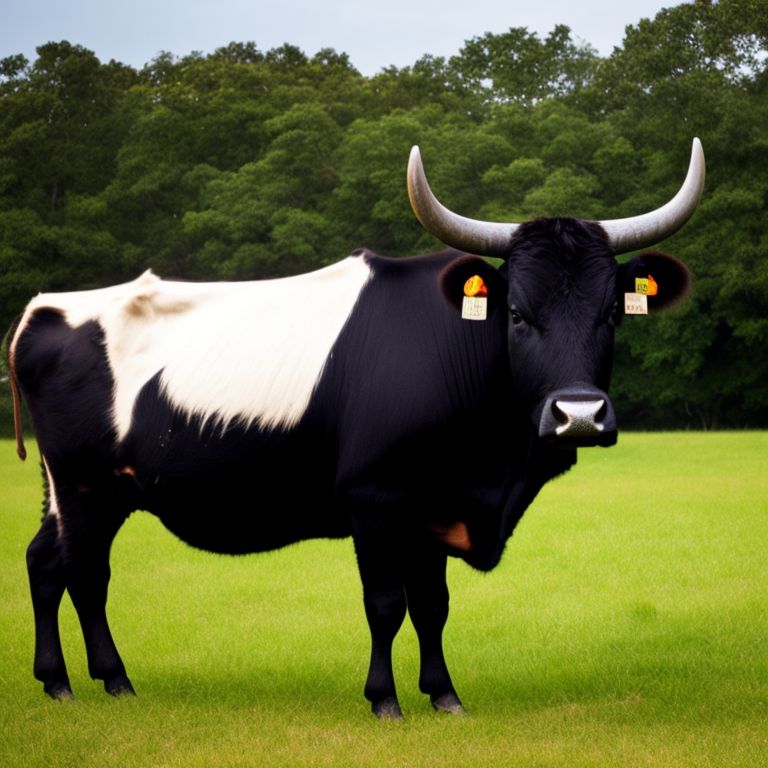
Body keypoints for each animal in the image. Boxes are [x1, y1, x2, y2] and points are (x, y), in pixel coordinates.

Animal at [7, 139, 704, 718]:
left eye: (613, 312)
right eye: (516, 313)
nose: (578, 415)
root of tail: (47, 307)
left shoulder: (432, 508)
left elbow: (433, 606)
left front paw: (444, 695)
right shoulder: (375, 503)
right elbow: (387, 604)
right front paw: (384, 700)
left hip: (84, 492)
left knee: (45, 562)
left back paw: (59, 680)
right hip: (84, 486)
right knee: (85, 572)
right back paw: (111, 679)